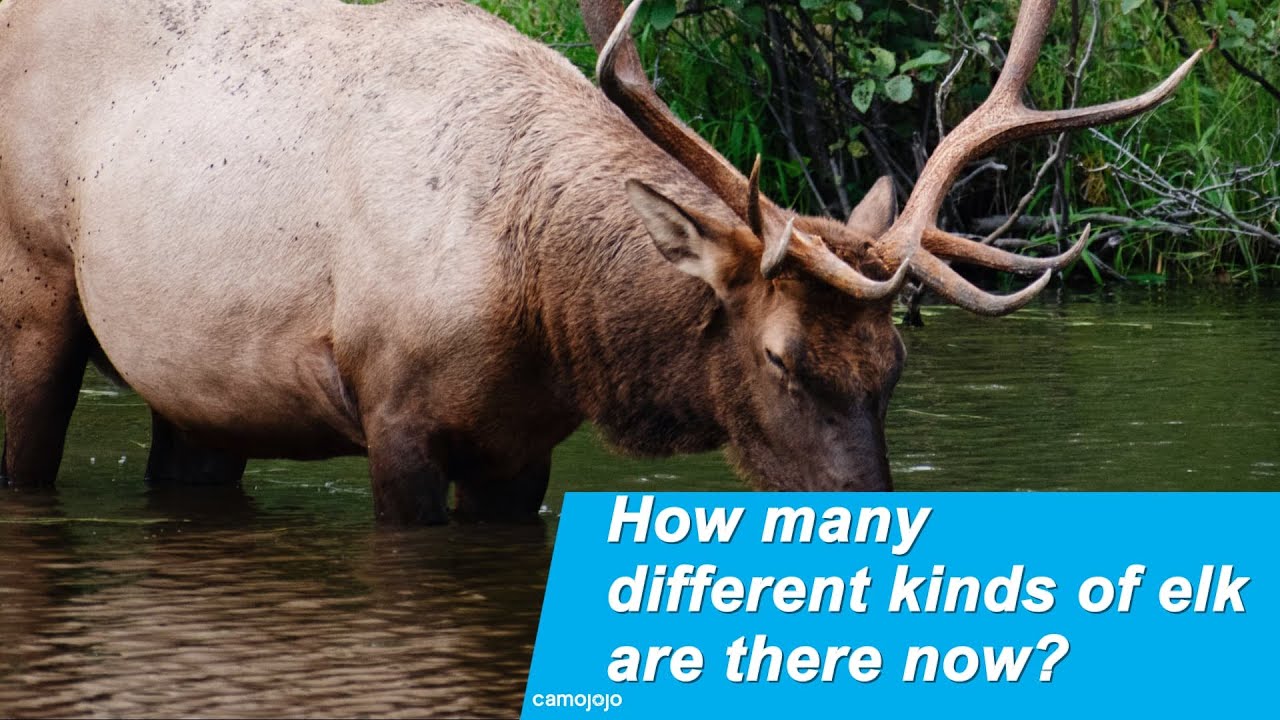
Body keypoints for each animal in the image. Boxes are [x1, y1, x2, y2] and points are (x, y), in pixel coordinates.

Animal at [0, 0, 1203, 523]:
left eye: (894, 369)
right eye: (780, 358)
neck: (542, 312)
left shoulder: (515, 446)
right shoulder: (392, 407)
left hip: (202, 386)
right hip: (33, 290)